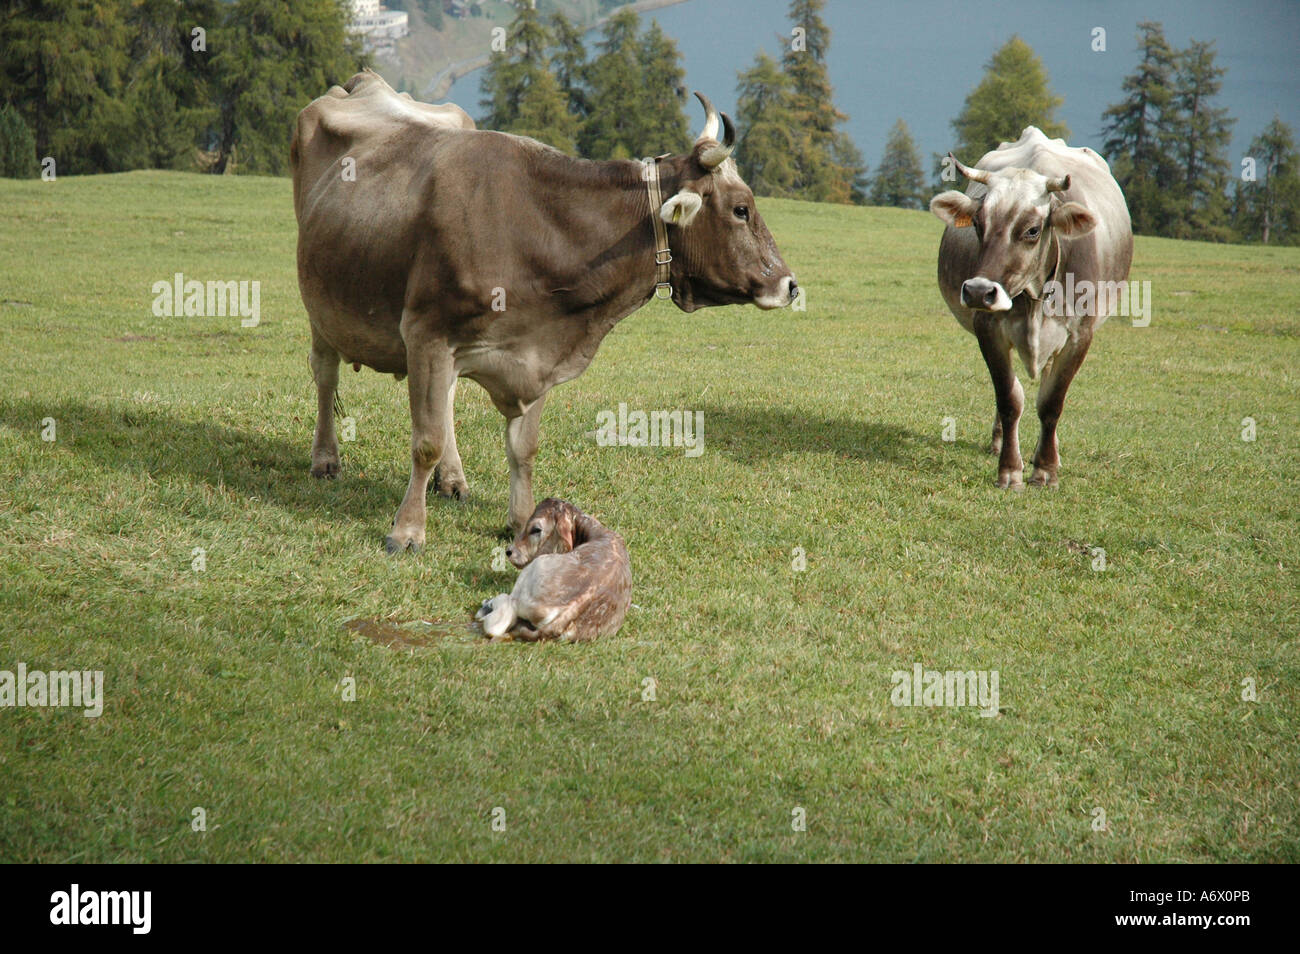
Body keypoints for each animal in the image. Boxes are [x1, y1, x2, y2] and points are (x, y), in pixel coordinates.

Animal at [291, 70, 797, 553]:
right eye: (741, 209)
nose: (790, 286)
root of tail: (366, 82)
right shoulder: (426, 335)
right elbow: (425, 442)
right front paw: (407, 530)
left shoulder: (536, 355)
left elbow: (523, 448)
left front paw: (522, 521)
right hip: (321, 306)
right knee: (325, 375)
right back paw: (325, 459)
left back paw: (452, 480)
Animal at [929, 126, 1133, 488]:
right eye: (978, 224)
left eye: (1033, 230)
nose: (979, 291)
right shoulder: (988, 329)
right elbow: (1010, 399)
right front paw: (1010, 469)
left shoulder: (1079, 336)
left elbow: (1051, 403)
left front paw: (1045, 469)